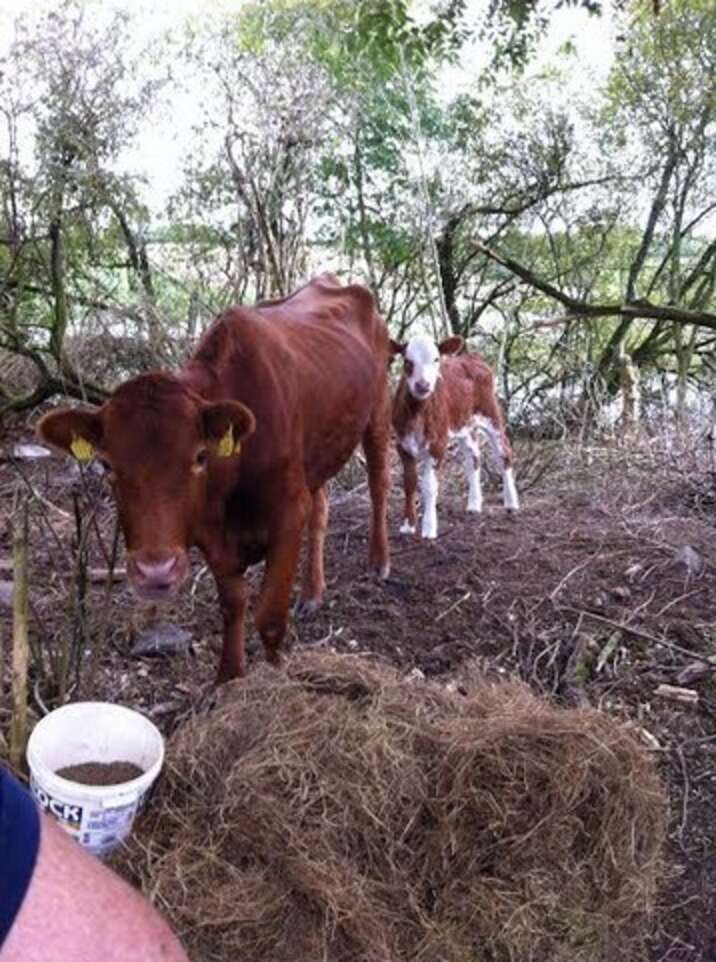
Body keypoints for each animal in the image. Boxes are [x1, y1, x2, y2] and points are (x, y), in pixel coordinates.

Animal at [37, 274, 392, 682]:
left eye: (200, 457)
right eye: (106, 465)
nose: (155, 571)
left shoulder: (288, 509)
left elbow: (270, 616)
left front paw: (274, 676)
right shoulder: (209, 528)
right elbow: (232, 602)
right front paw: (229, 676)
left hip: (378, 409)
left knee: (379, 484)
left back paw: (379, 561)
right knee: (321, 509)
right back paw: (311, 593)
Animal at [390, 333, 519, 540]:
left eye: (436, 359)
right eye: (407, 361)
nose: (423, 385)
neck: (417, 413)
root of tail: (473, 357)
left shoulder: (438, 444)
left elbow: (429, 486)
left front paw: (429, 528)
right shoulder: (402, 444)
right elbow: (409, 483)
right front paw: (407, 525)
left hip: (490, 412)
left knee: (504, 452)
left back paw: (511, 503)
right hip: (464, 424)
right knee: (473, 456)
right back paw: (474, 504)